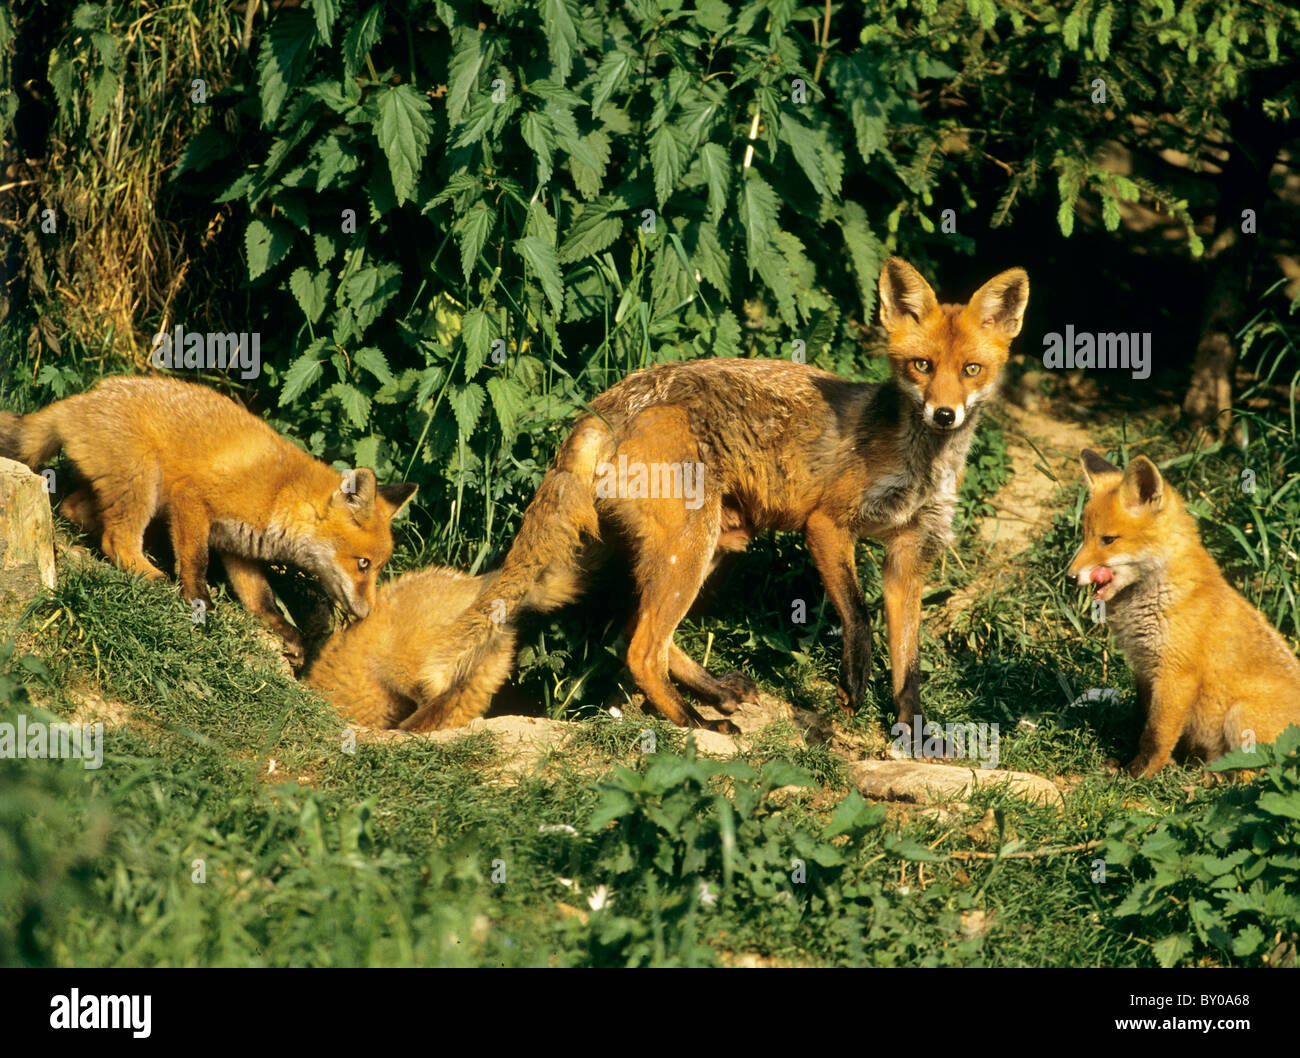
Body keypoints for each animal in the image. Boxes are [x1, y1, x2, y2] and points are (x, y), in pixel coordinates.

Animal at [0, 376, 416, 665]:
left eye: (378, 567)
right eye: (363, 564)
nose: (368, 614)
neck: (280, 494)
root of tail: (85, 397)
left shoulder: (241, 547)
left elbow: (261, 598)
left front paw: (286, 634)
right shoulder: (193, 500)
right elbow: (196, 561)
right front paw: (198, 602)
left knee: (74, 509)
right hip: (145, 483)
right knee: (116, 540)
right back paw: (148, 574)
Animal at [391, 257, 1028, 734]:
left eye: (971, 370)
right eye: (921, 365)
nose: (944, 414)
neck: (919, 462)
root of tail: (612, 401)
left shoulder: (910, 552)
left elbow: (909, 663)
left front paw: (913, 731)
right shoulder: (827, 525)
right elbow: (860, 616)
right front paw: (854, 680)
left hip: (695, 547)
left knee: (633, 631)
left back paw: (714, 692)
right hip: (689, 546)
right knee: (639, 648)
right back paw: (696, 721)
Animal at [1068, 449, 1300, 777]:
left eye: (1108, 540)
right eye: (1085, 536)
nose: (1070, 577)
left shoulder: (1176, 674)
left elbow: (1157, 734)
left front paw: (1139, 775)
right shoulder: (1144, 669)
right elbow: (1143, 720)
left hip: (1240, 715)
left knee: (1263, 772)